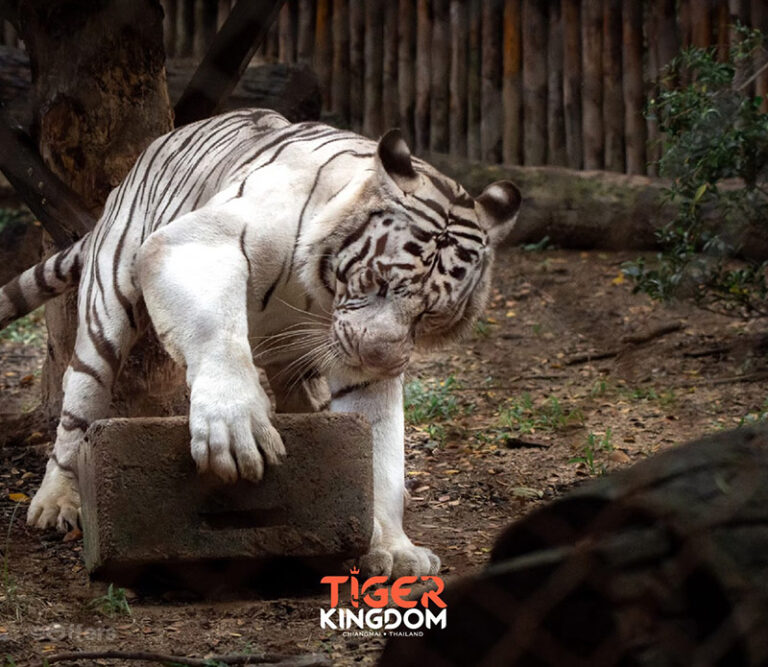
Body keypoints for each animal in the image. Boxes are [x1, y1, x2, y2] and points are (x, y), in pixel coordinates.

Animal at [0, 108, 521, 579]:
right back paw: (55, 500)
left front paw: (392, 548)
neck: (320, 293)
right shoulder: (197, 241)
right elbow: (217, 336)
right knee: (81, 400)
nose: (378, 358)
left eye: (430, 312)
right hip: (105, 308)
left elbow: (379, 450)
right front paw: (234, 428)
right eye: (377, 283)